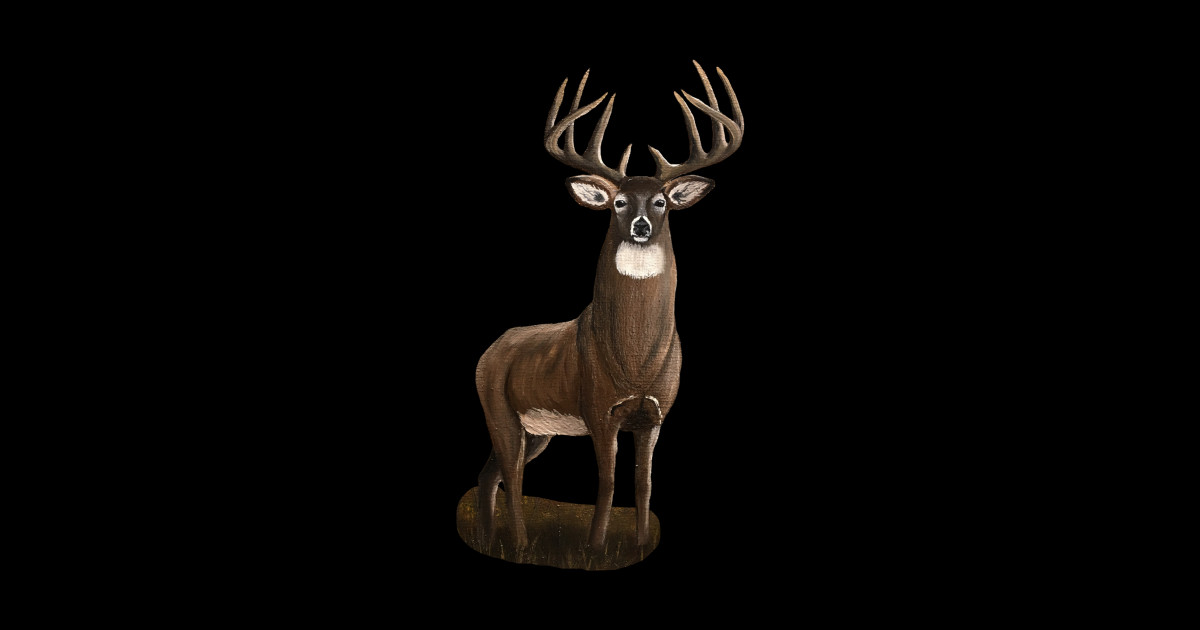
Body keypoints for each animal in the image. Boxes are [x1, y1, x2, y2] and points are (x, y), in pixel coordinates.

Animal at [475, 61, 743, 550]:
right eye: (618, 201)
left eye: (660, 201)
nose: (639, 224)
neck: (634, 356)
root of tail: (490, 350)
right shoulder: (598, 407)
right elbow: (608, 480)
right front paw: (596, 548)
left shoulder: (654, 415)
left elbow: (644, 482)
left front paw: (638, 543)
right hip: (498, 408)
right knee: (512, 475)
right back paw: (519, 542)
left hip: (536, 430)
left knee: (493, 475)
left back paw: (491, 539)